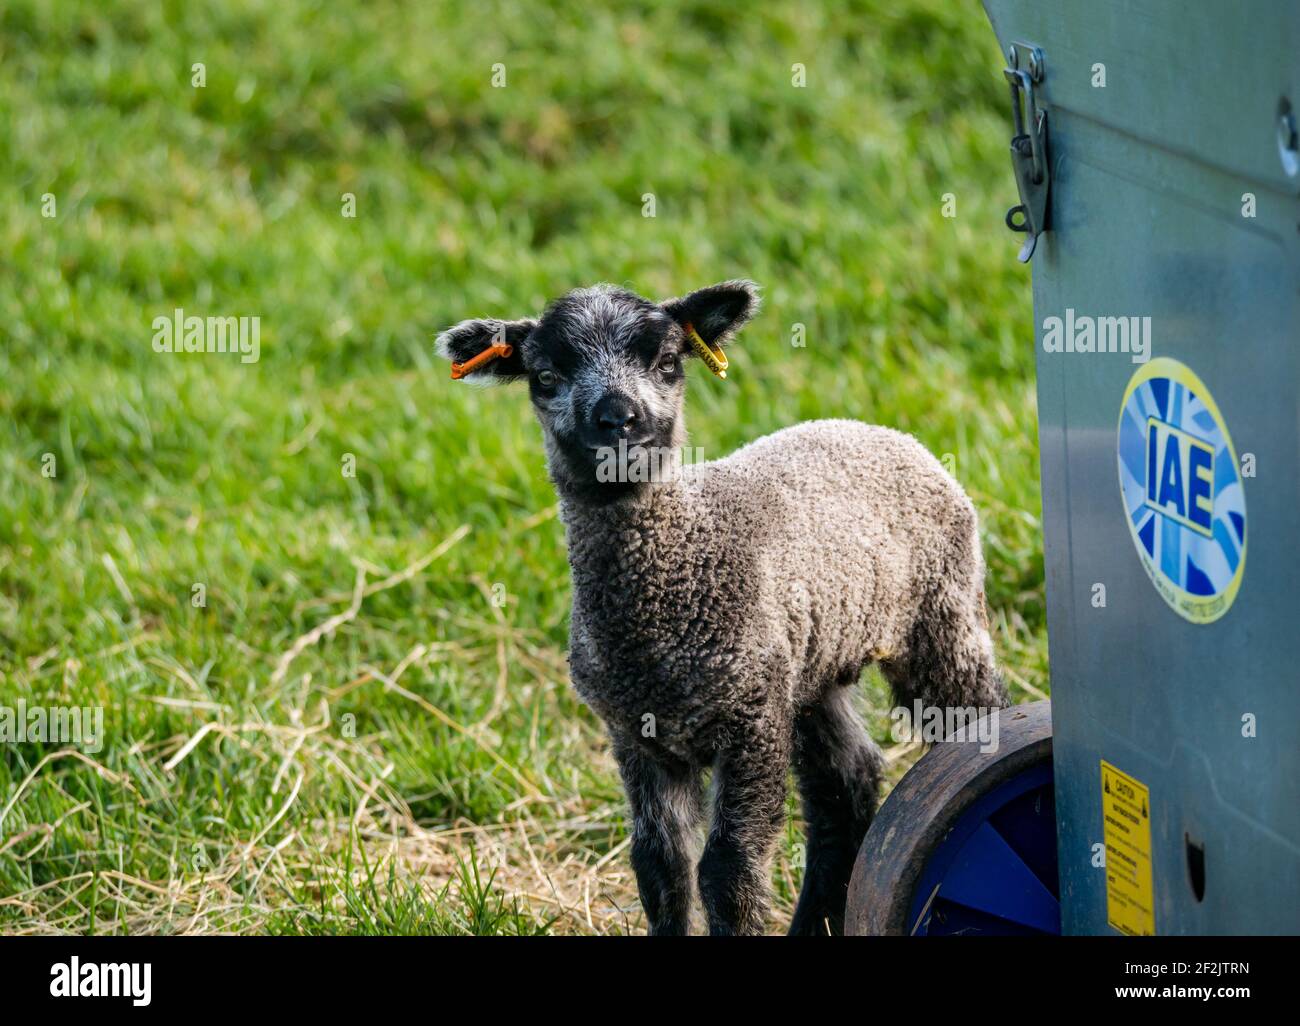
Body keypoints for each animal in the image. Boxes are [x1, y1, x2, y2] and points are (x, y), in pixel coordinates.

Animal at [437, 280, 1007, 935]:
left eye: (667, 362)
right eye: (547, 376)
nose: (619, 419)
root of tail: (877, 429)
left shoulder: (749, 723)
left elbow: (727, 869)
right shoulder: (637, 736)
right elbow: (660, 865)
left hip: (943, 615)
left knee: (975, 714)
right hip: (805, 670)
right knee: (847, 782)